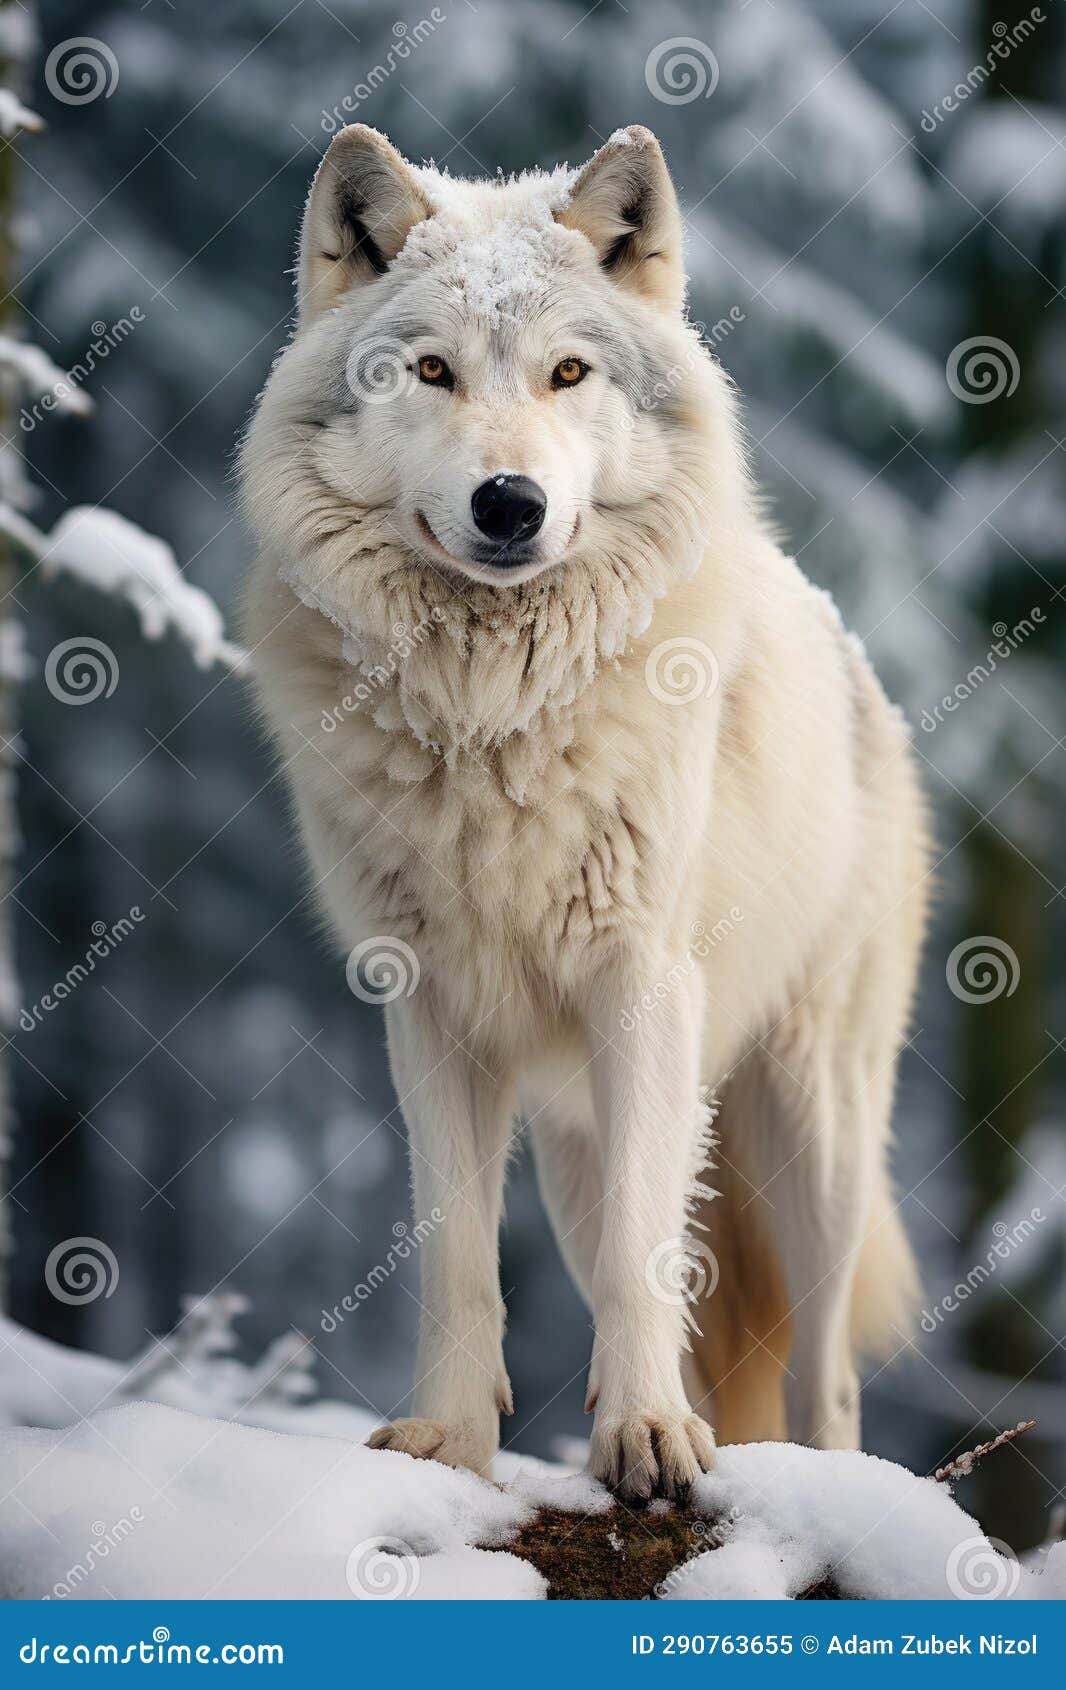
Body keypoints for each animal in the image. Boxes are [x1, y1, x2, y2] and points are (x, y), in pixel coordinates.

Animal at [240, 123, 930, 1502]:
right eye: (433, 372)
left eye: (567, 372)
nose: (509, 502)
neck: (495, 720)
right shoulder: (425, 1006)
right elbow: (457, 1256)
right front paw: (450, 1442)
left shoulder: (643, 982)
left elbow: (639, 1261)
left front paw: (647, 1439)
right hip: (574, 1145)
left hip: (811, 1128)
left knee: (822, 1369)